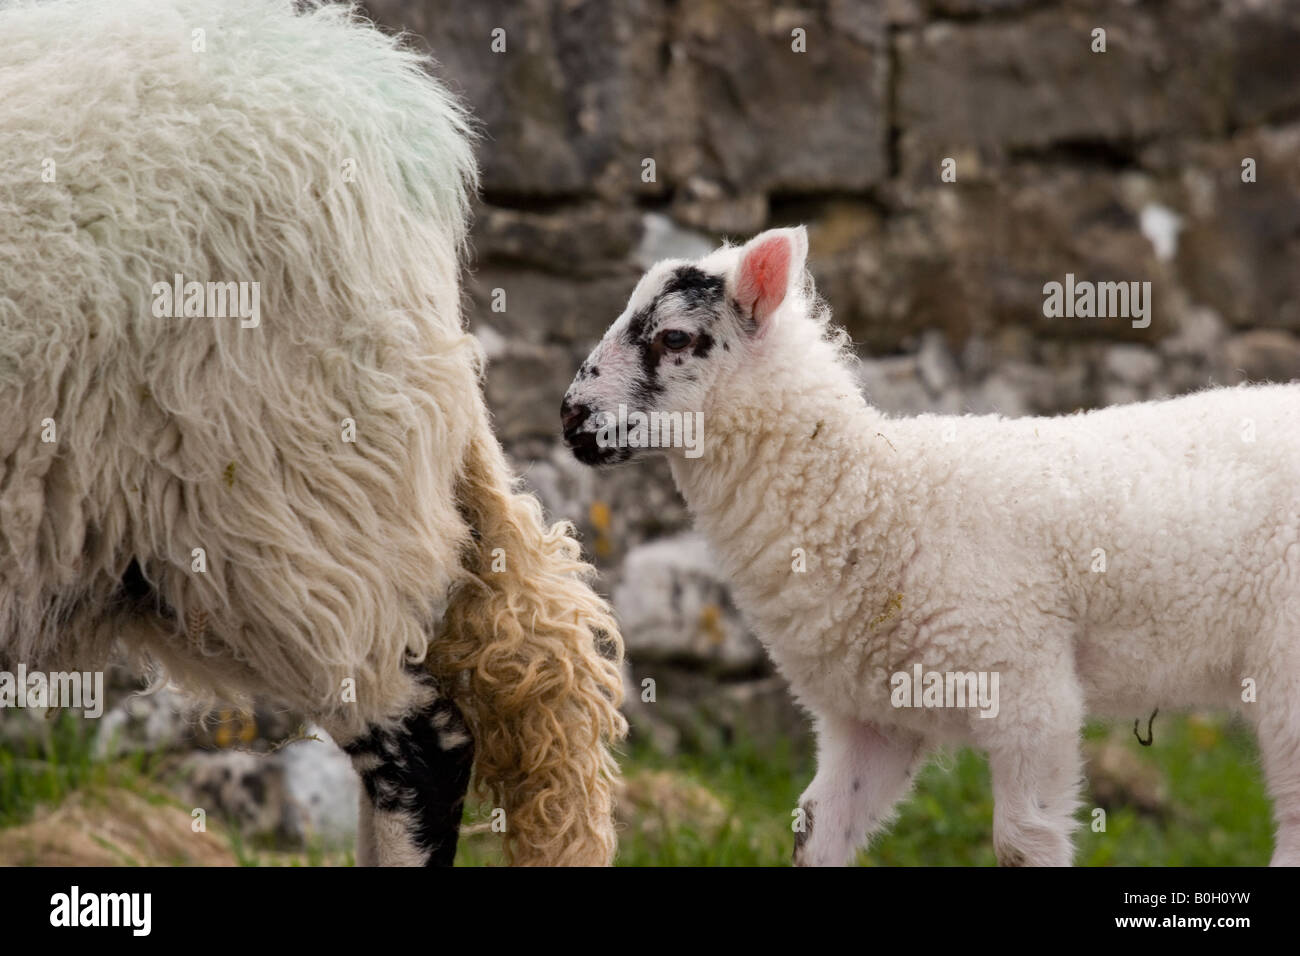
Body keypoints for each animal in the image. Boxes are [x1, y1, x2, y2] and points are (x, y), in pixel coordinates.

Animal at [562, 226, 1300, 866]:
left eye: (674, 337)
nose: (569, 417)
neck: (877, 494)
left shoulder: (1029, 689)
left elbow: (1024, 843)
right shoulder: (871, 720)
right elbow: (814, 829)